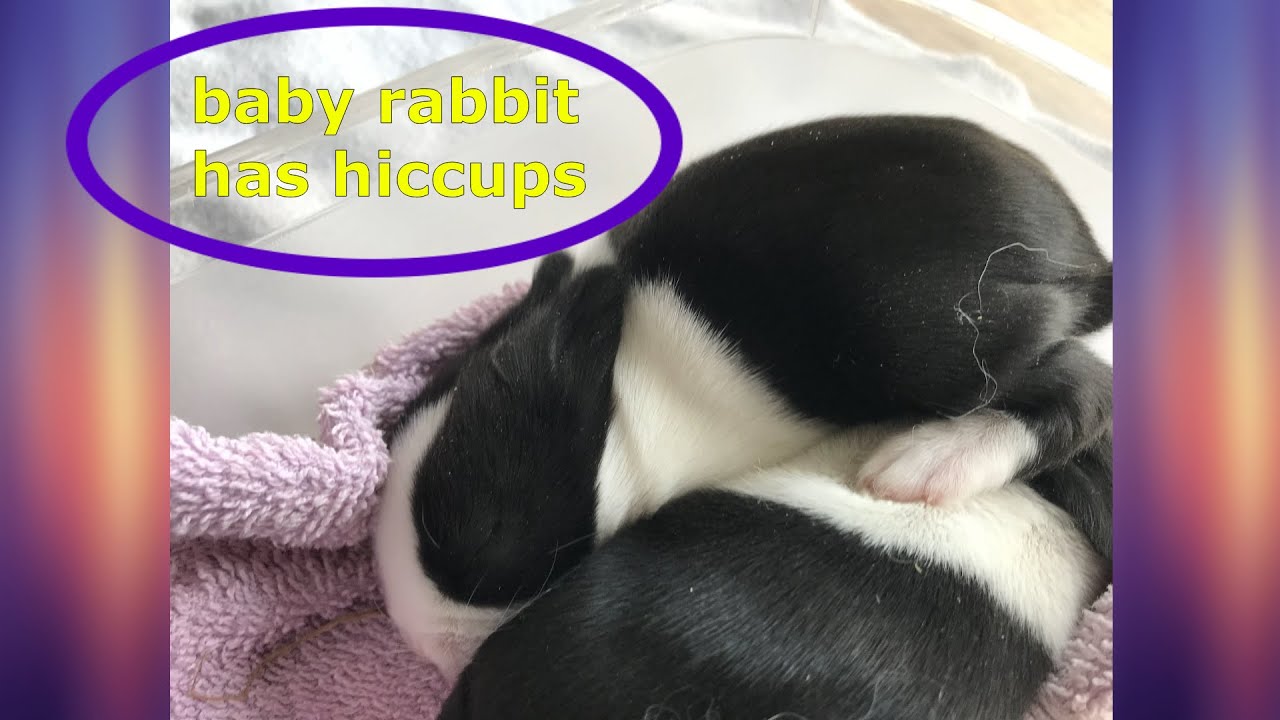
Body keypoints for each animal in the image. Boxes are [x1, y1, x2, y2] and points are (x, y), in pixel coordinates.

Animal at [374, 115, 1113, 680]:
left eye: (492, 535)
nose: (436, 654)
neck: (619, 401)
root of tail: (1088, 256)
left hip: (934, 341)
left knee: (1083, 391)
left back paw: (926, 465)